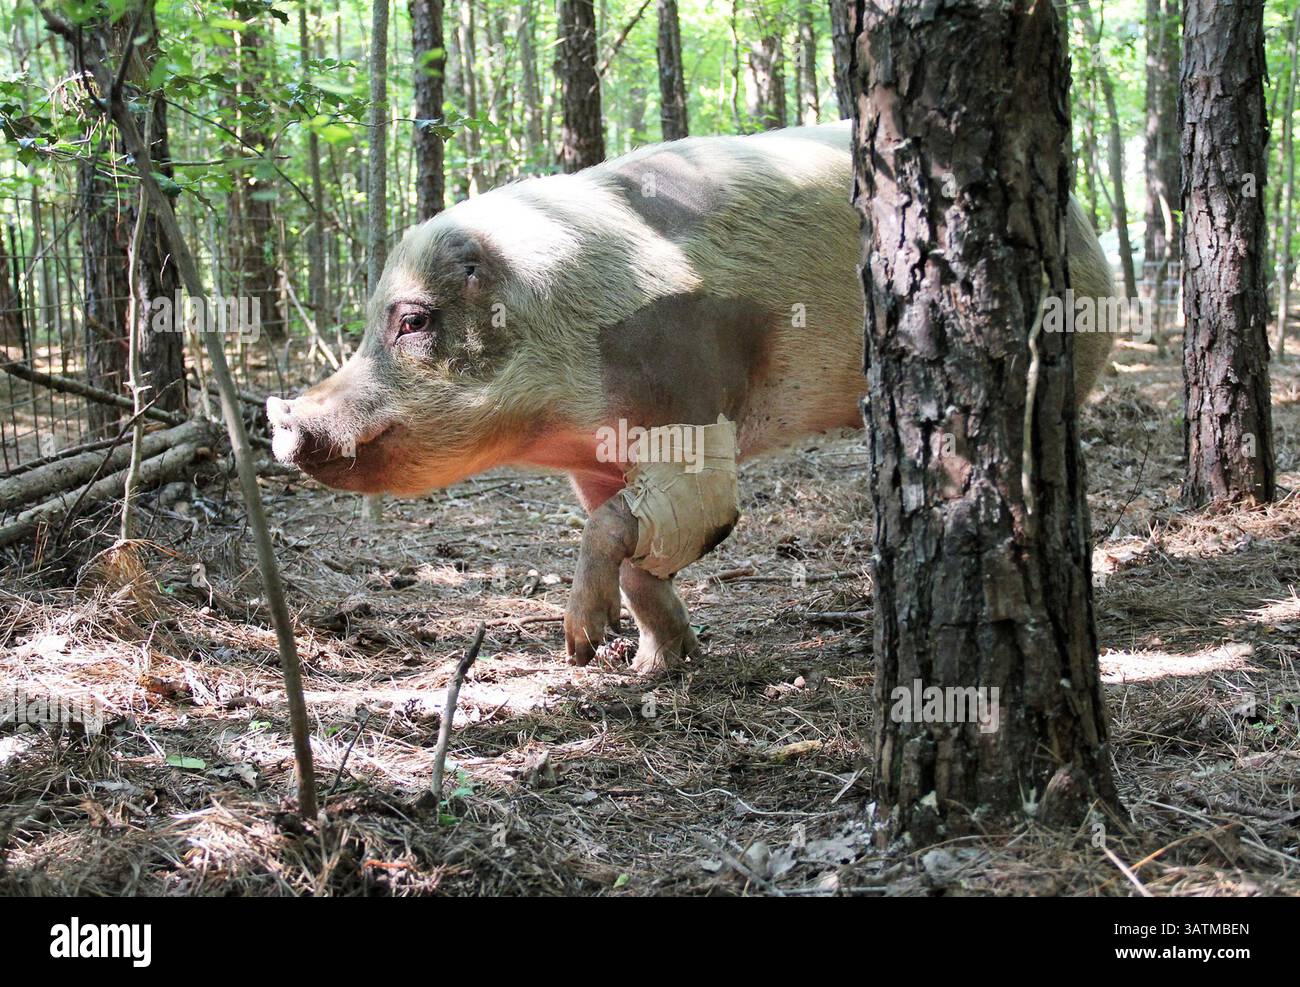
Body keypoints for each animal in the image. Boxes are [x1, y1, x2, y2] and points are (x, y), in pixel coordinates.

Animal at [268, 121, 1116, 674]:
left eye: (412, 320)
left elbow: (669, 521)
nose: (284, 419)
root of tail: (1083, 219)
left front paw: (581, 648)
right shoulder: (595, 461)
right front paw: (657, 665)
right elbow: (632, 550)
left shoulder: (692, 416)